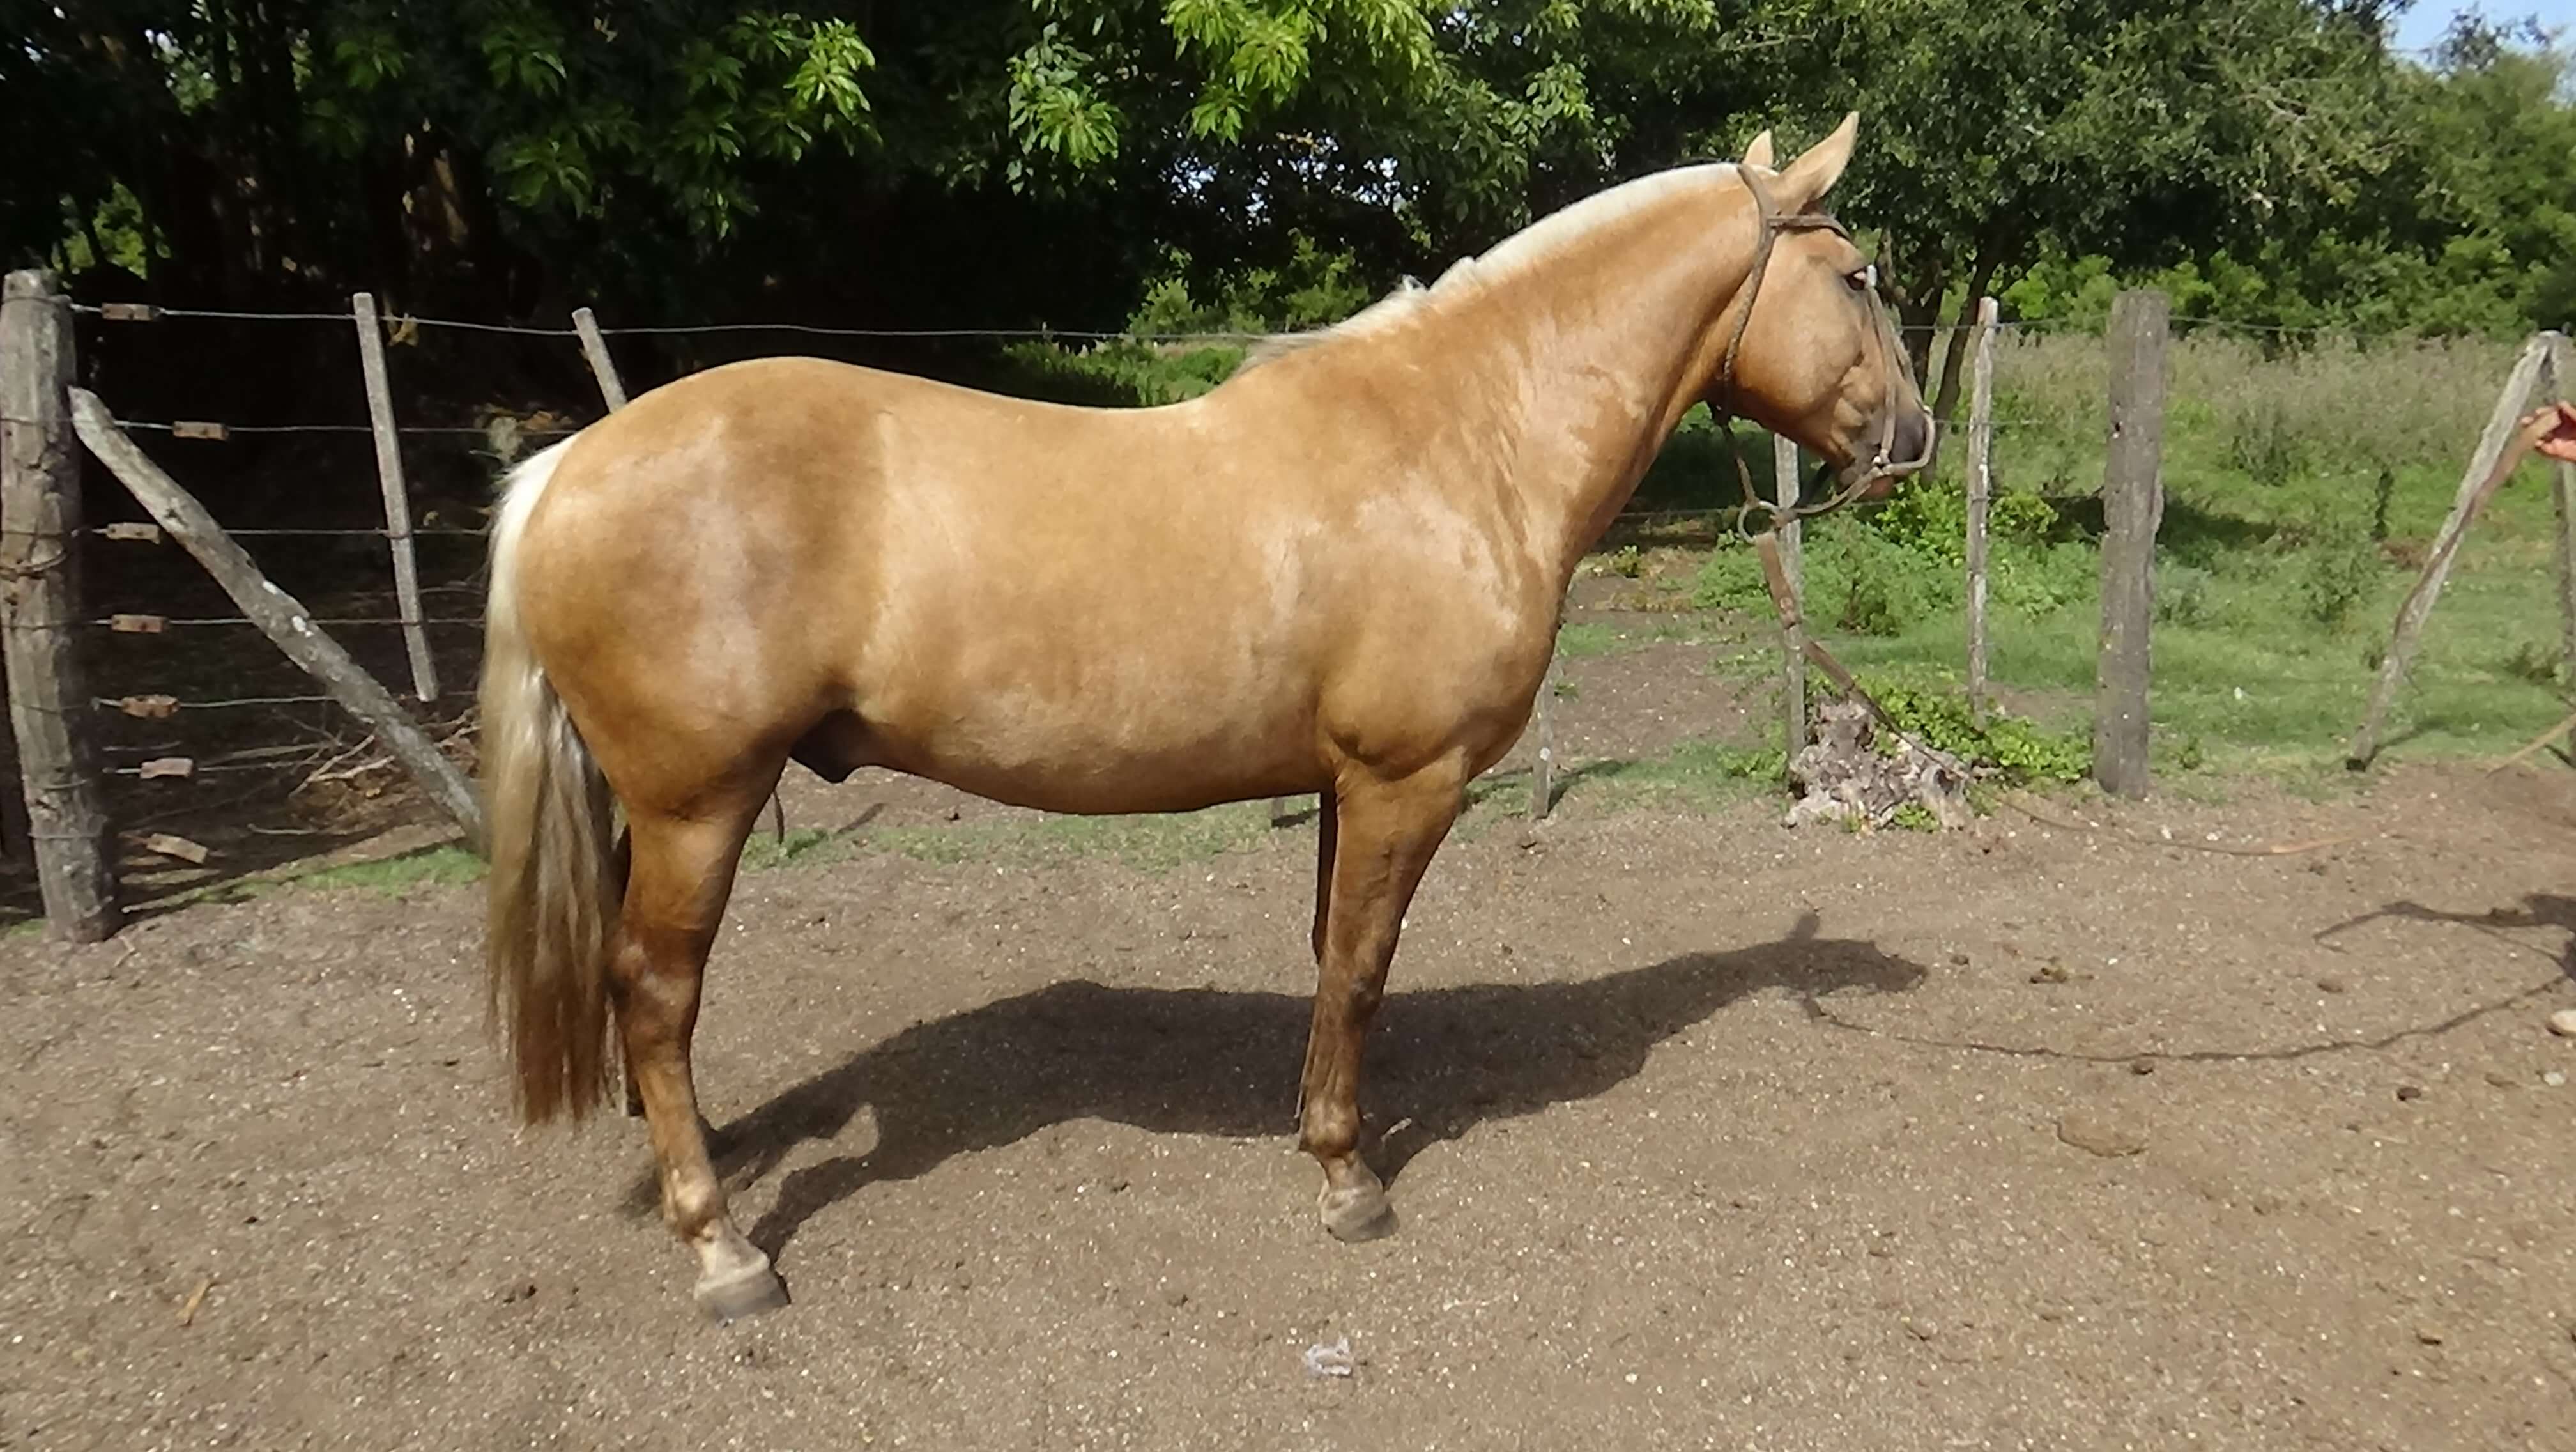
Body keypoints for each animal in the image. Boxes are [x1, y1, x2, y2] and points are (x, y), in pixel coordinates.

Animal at [479, 112, 1933, 1322]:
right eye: (1856, 277)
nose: (1913, 440)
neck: (1464, 437)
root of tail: (569, 466)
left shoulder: (1348, 785)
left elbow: (1332, 957)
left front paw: (1319, 1129)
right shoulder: (1407, 779)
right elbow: (1362, 965)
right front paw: (1348, 1178)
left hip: (661, 809)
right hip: (701, 802)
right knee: (655, 989)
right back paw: (723, 1246)